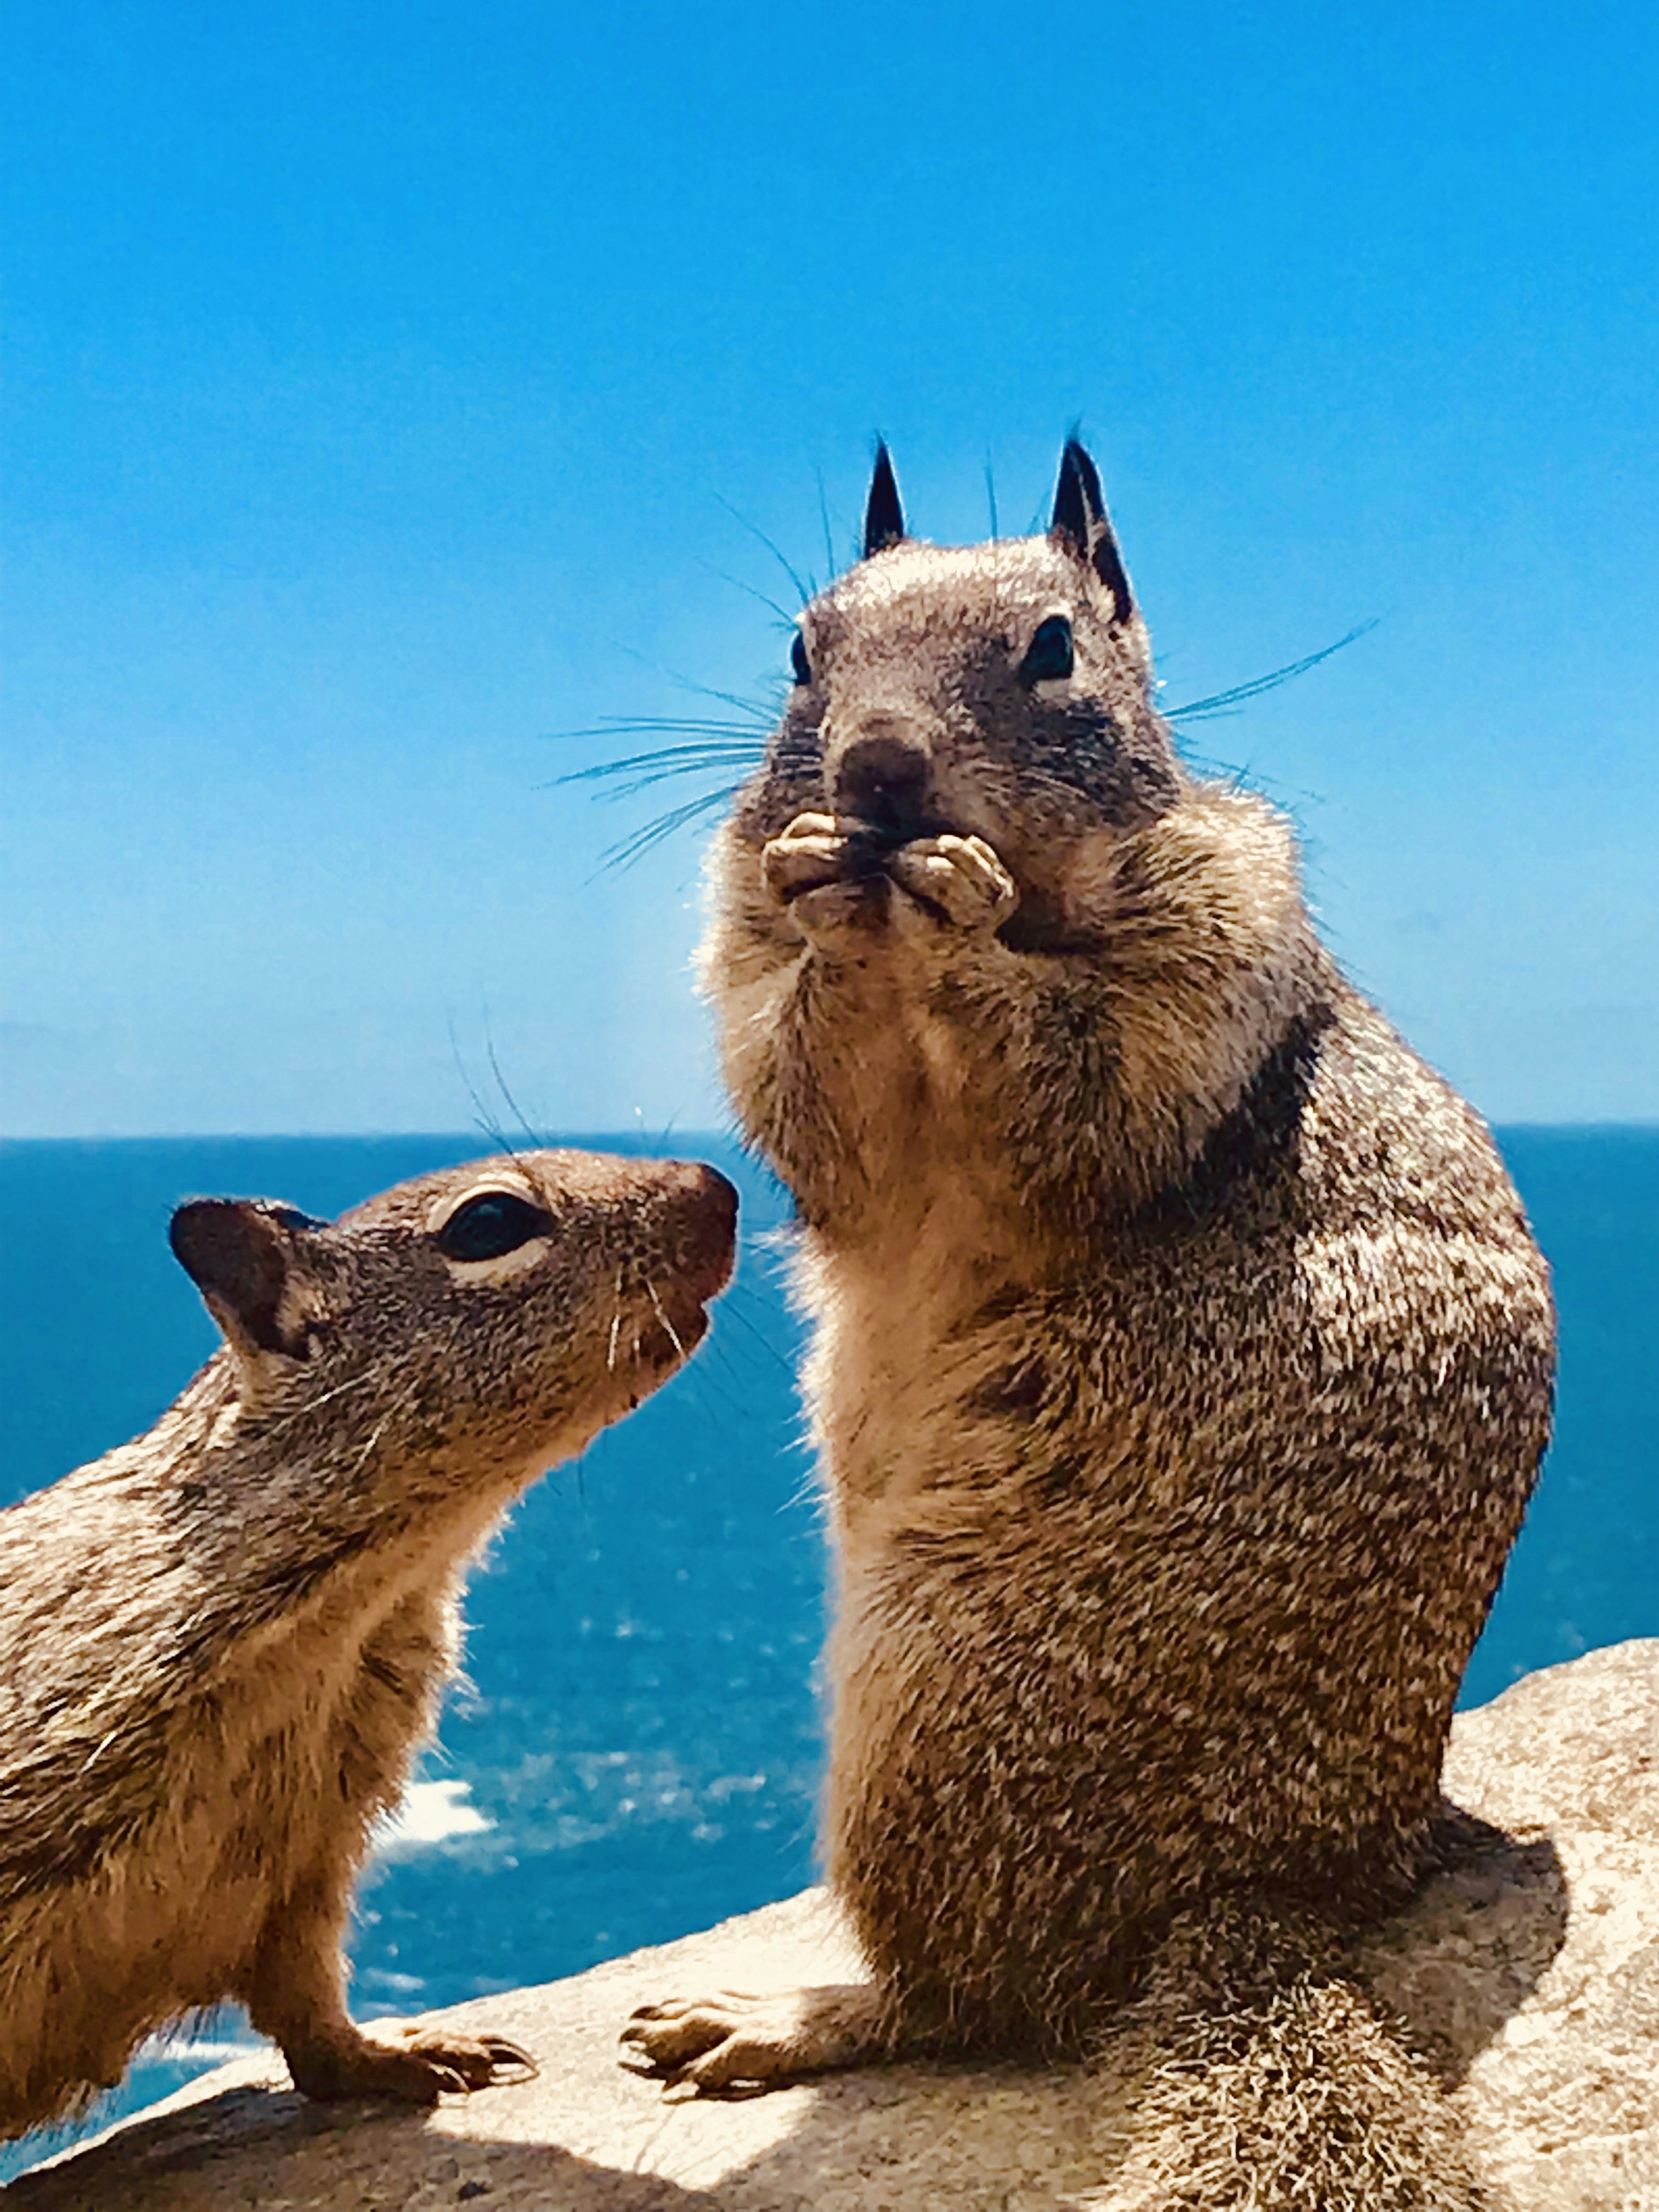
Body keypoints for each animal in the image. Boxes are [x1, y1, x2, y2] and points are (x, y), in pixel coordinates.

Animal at [0, 1146, 735, 2141]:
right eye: (489, 1222)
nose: (717, 1186)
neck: (347, 1616)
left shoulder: (312, 1852)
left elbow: (309, 2008)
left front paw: (405, 2052)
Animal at [622, 443, 1556, 2208]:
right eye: (801, 651)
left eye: (1056, 648)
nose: (880, 768)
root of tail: (1262, 1898)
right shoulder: (758, 982)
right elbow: (807, 1095)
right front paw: (839, 896)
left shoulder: (1203, 970)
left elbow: (1071, 1096)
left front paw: (956, 919)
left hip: (946, 1713)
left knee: (972, 2002)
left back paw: (784, 2015)